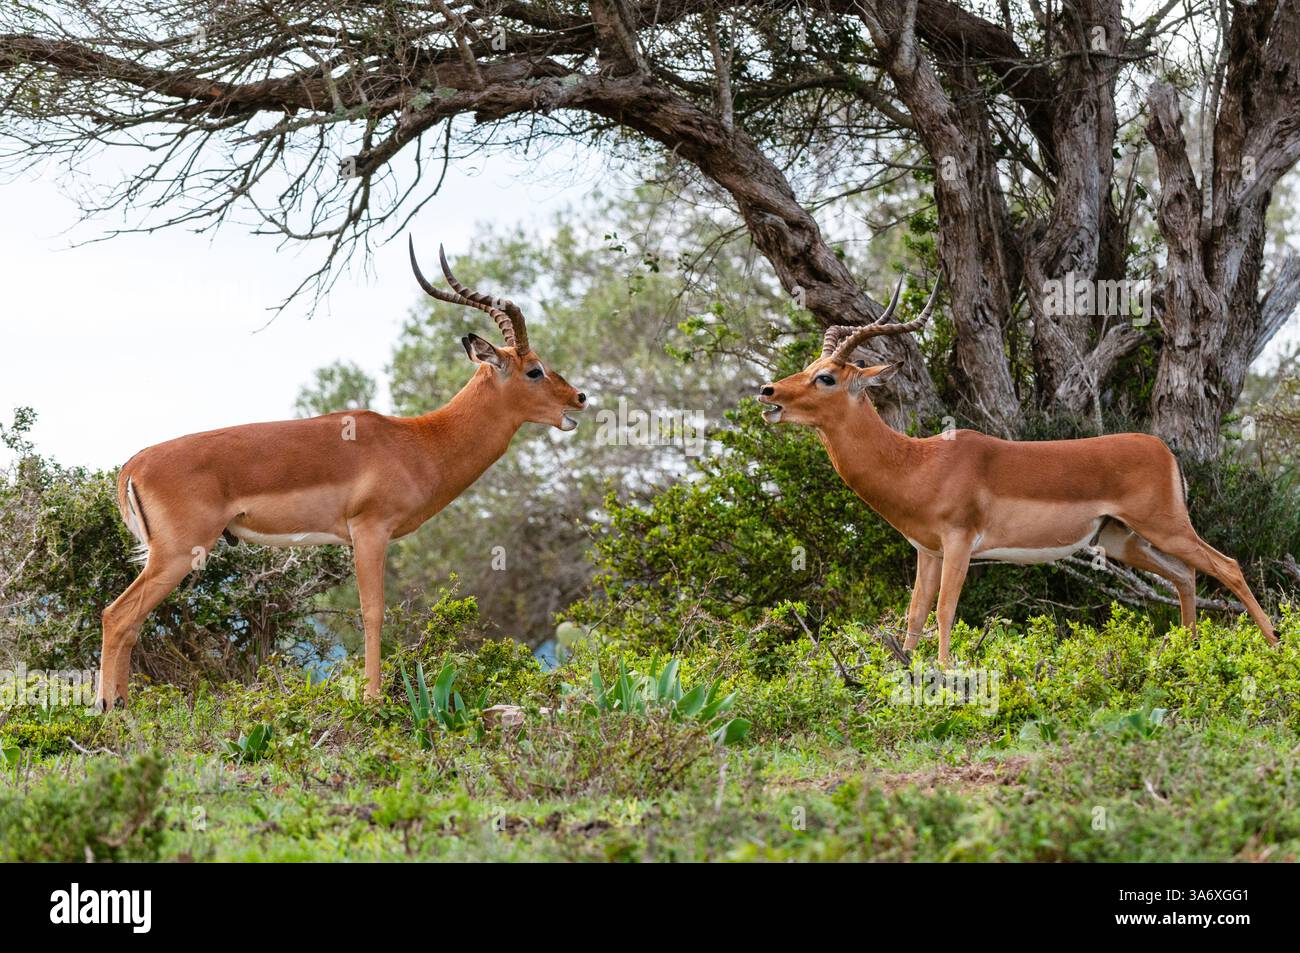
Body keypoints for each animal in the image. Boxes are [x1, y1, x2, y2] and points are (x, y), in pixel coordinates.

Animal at [95, 240, 586, 711]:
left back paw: (119, 705)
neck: (417, 441)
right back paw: (110, 709)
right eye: (534, 369)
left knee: (128, 621)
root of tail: (133, 466)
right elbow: (373, 611)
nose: (579, 397)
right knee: (117, 615)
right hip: (178, 553)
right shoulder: (370, 530)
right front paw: (372, 699)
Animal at [756, 277, 1278, 666]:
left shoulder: (959, 542)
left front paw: (944, 675)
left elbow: (945, 611)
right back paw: (1188, 653)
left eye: (826, 376)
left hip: (1163, 526)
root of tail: (1161, 450)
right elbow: (915, 616)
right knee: (1186, 577)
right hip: (1121, 539)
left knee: (1226, 567)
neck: (917, 461)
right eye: (811, 365)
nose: (768, 393)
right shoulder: (927, 550)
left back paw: (1273, 647)